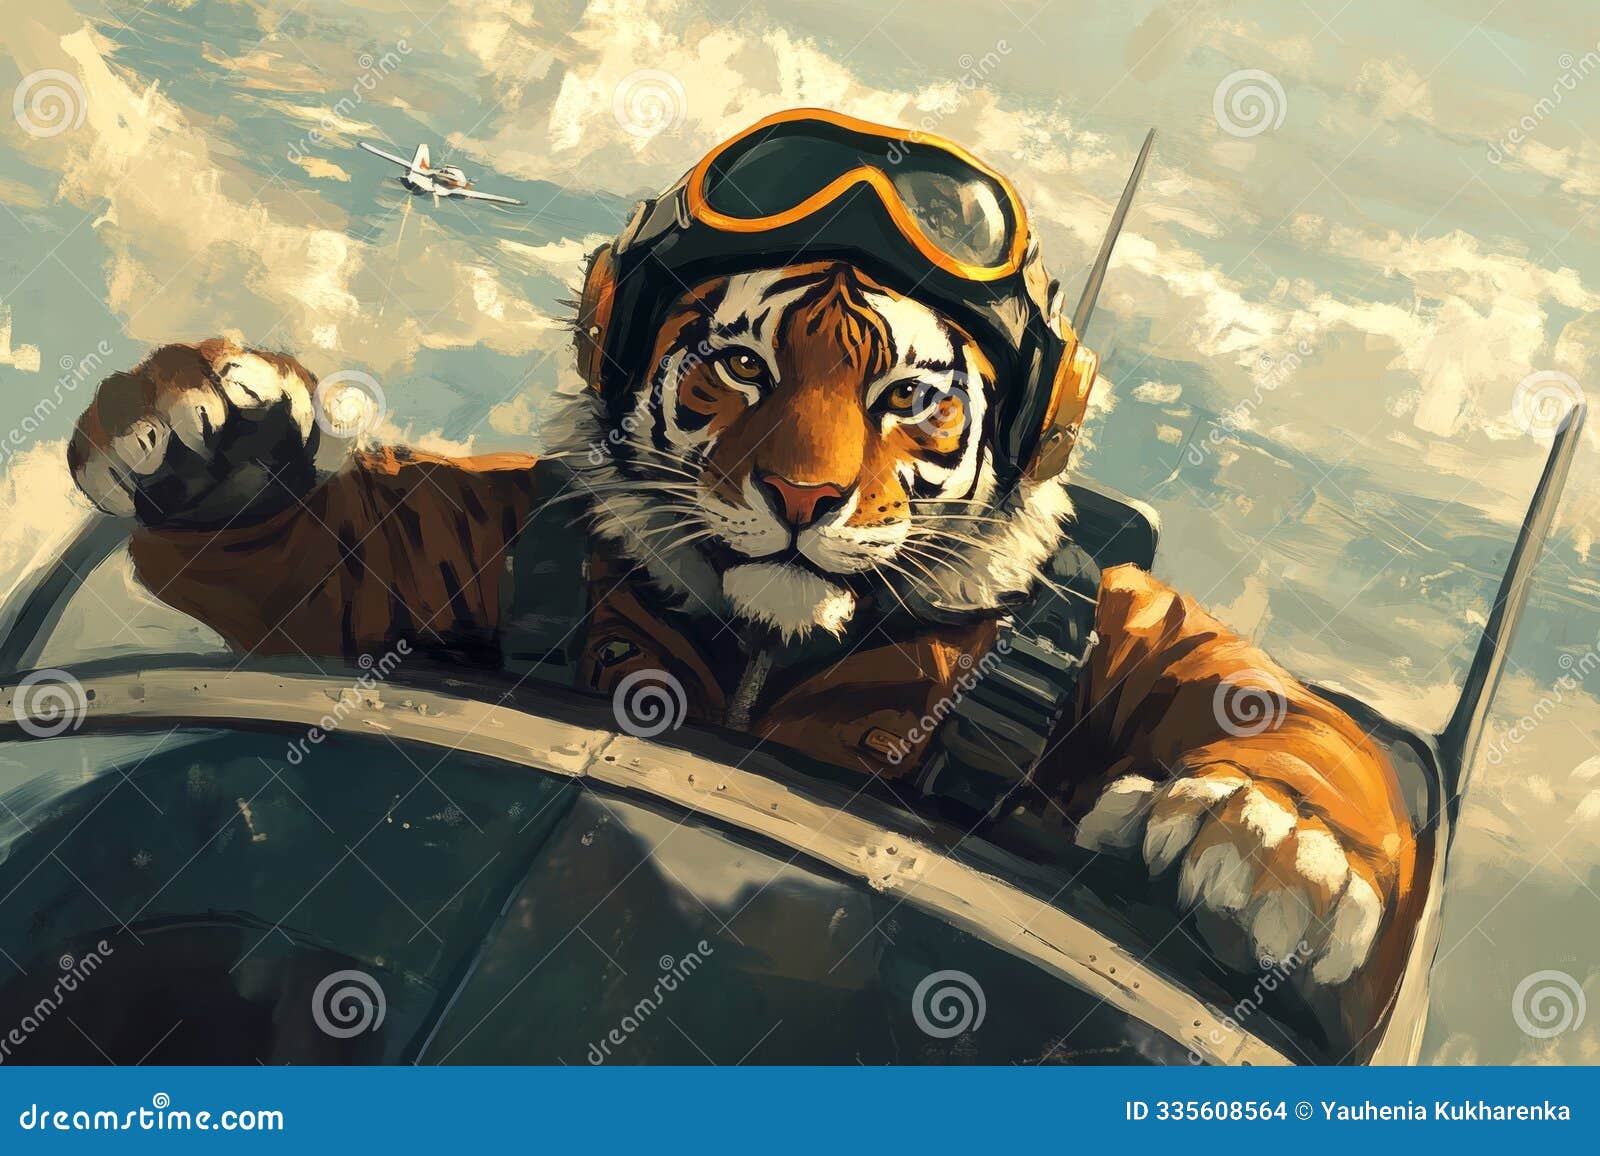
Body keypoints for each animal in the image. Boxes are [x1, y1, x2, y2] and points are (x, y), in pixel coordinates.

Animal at [67, 259, 1416, 1023]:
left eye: (905, 398)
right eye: (741, 367)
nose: (804, 495)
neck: (778, 649)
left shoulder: (1131, 622)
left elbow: (1243, 690)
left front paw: (1271, 846)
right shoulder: (470, 534)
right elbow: (336, 564)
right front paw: (200, 431)